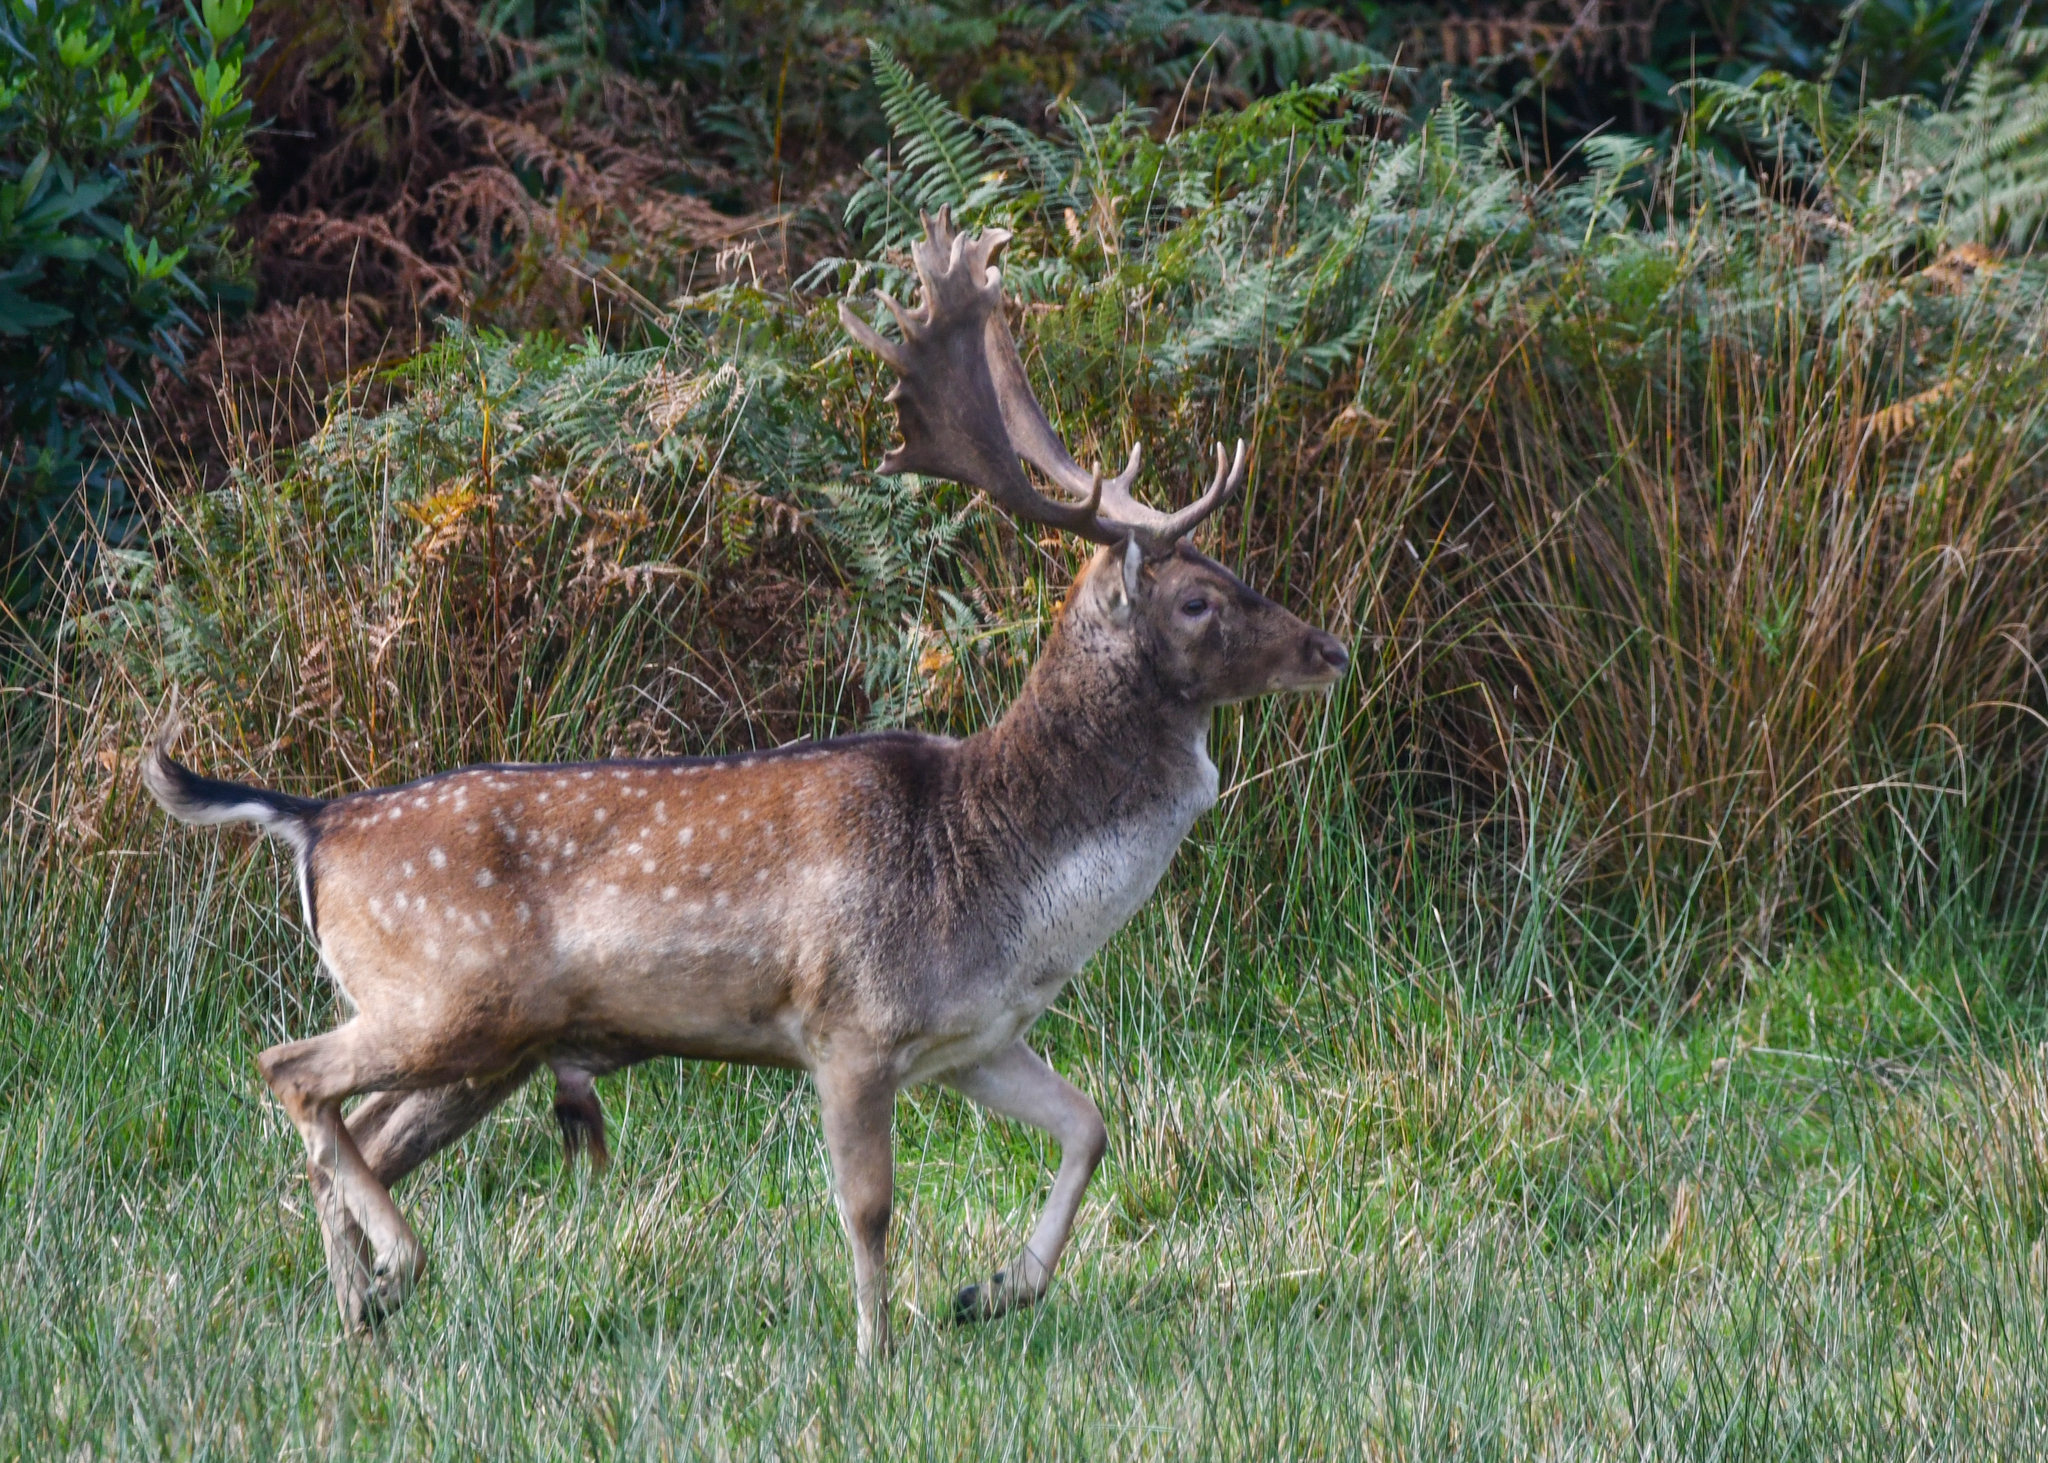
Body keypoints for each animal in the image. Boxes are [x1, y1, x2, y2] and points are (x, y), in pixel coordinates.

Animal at [143, 209, 1349, 1361]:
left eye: (1235, 571)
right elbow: (868, 1206)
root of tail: (312, 820)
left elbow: (1089, 1125)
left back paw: (363, 1310)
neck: (994, 873)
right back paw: (396, 1268)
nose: (1330, 648)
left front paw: (992, 1291)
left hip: (483, 1041)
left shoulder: (970, 1035)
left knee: (355, 1132)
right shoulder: (849, 1020)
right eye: (1196, 599)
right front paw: (877, 1355)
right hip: (444, 991)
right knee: (291, 1068)